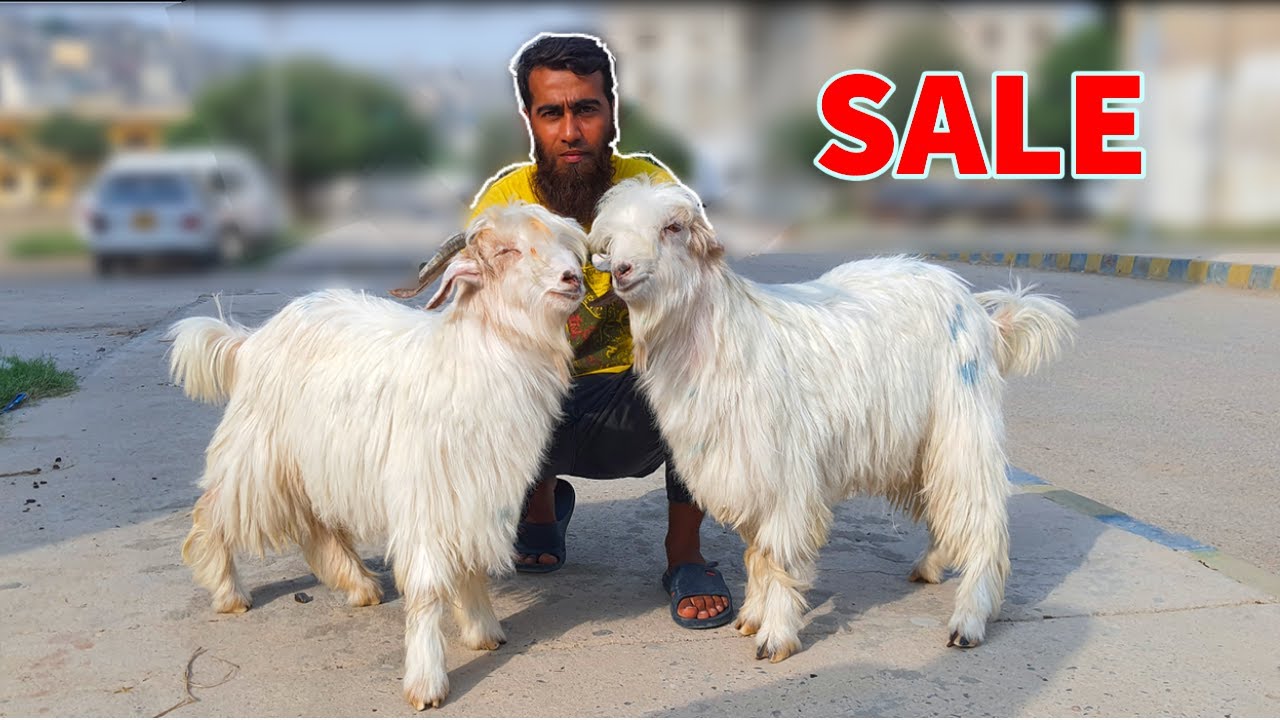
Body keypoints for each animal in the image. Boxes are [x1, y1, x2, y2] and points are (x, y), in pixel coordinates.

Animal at [166, 201, 587, 710]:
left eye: (564, 242)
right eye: (506, 250)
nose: (573, 277)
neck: (470, 359)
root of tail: (251, 340)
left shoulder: (473, 493)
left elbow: (469, 567)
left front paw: (482, 631)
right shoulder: (426, 494)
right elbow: (426, 586)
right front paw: (426, 683)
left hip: (316, 459)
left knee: (317, 525)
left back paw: (360, 585)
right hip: (260, 454)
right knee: (215, 510)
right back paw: (228, 592)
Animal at [588, 176, 1077, 661]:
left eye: (672, 228)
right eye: (612, 241)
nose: (623, 270)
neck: (731, 338)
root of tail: (978, 310)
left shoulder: (786, 473)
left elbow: (778, 555)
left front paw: (775, 635)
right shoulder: (745, 470)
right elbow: (756, 554)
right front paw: (752, 618)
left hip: (963, 425)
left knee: (980, 516)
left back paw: (969, 619)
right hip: (918, 441)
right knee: (942, 503)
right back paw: (930, 566)